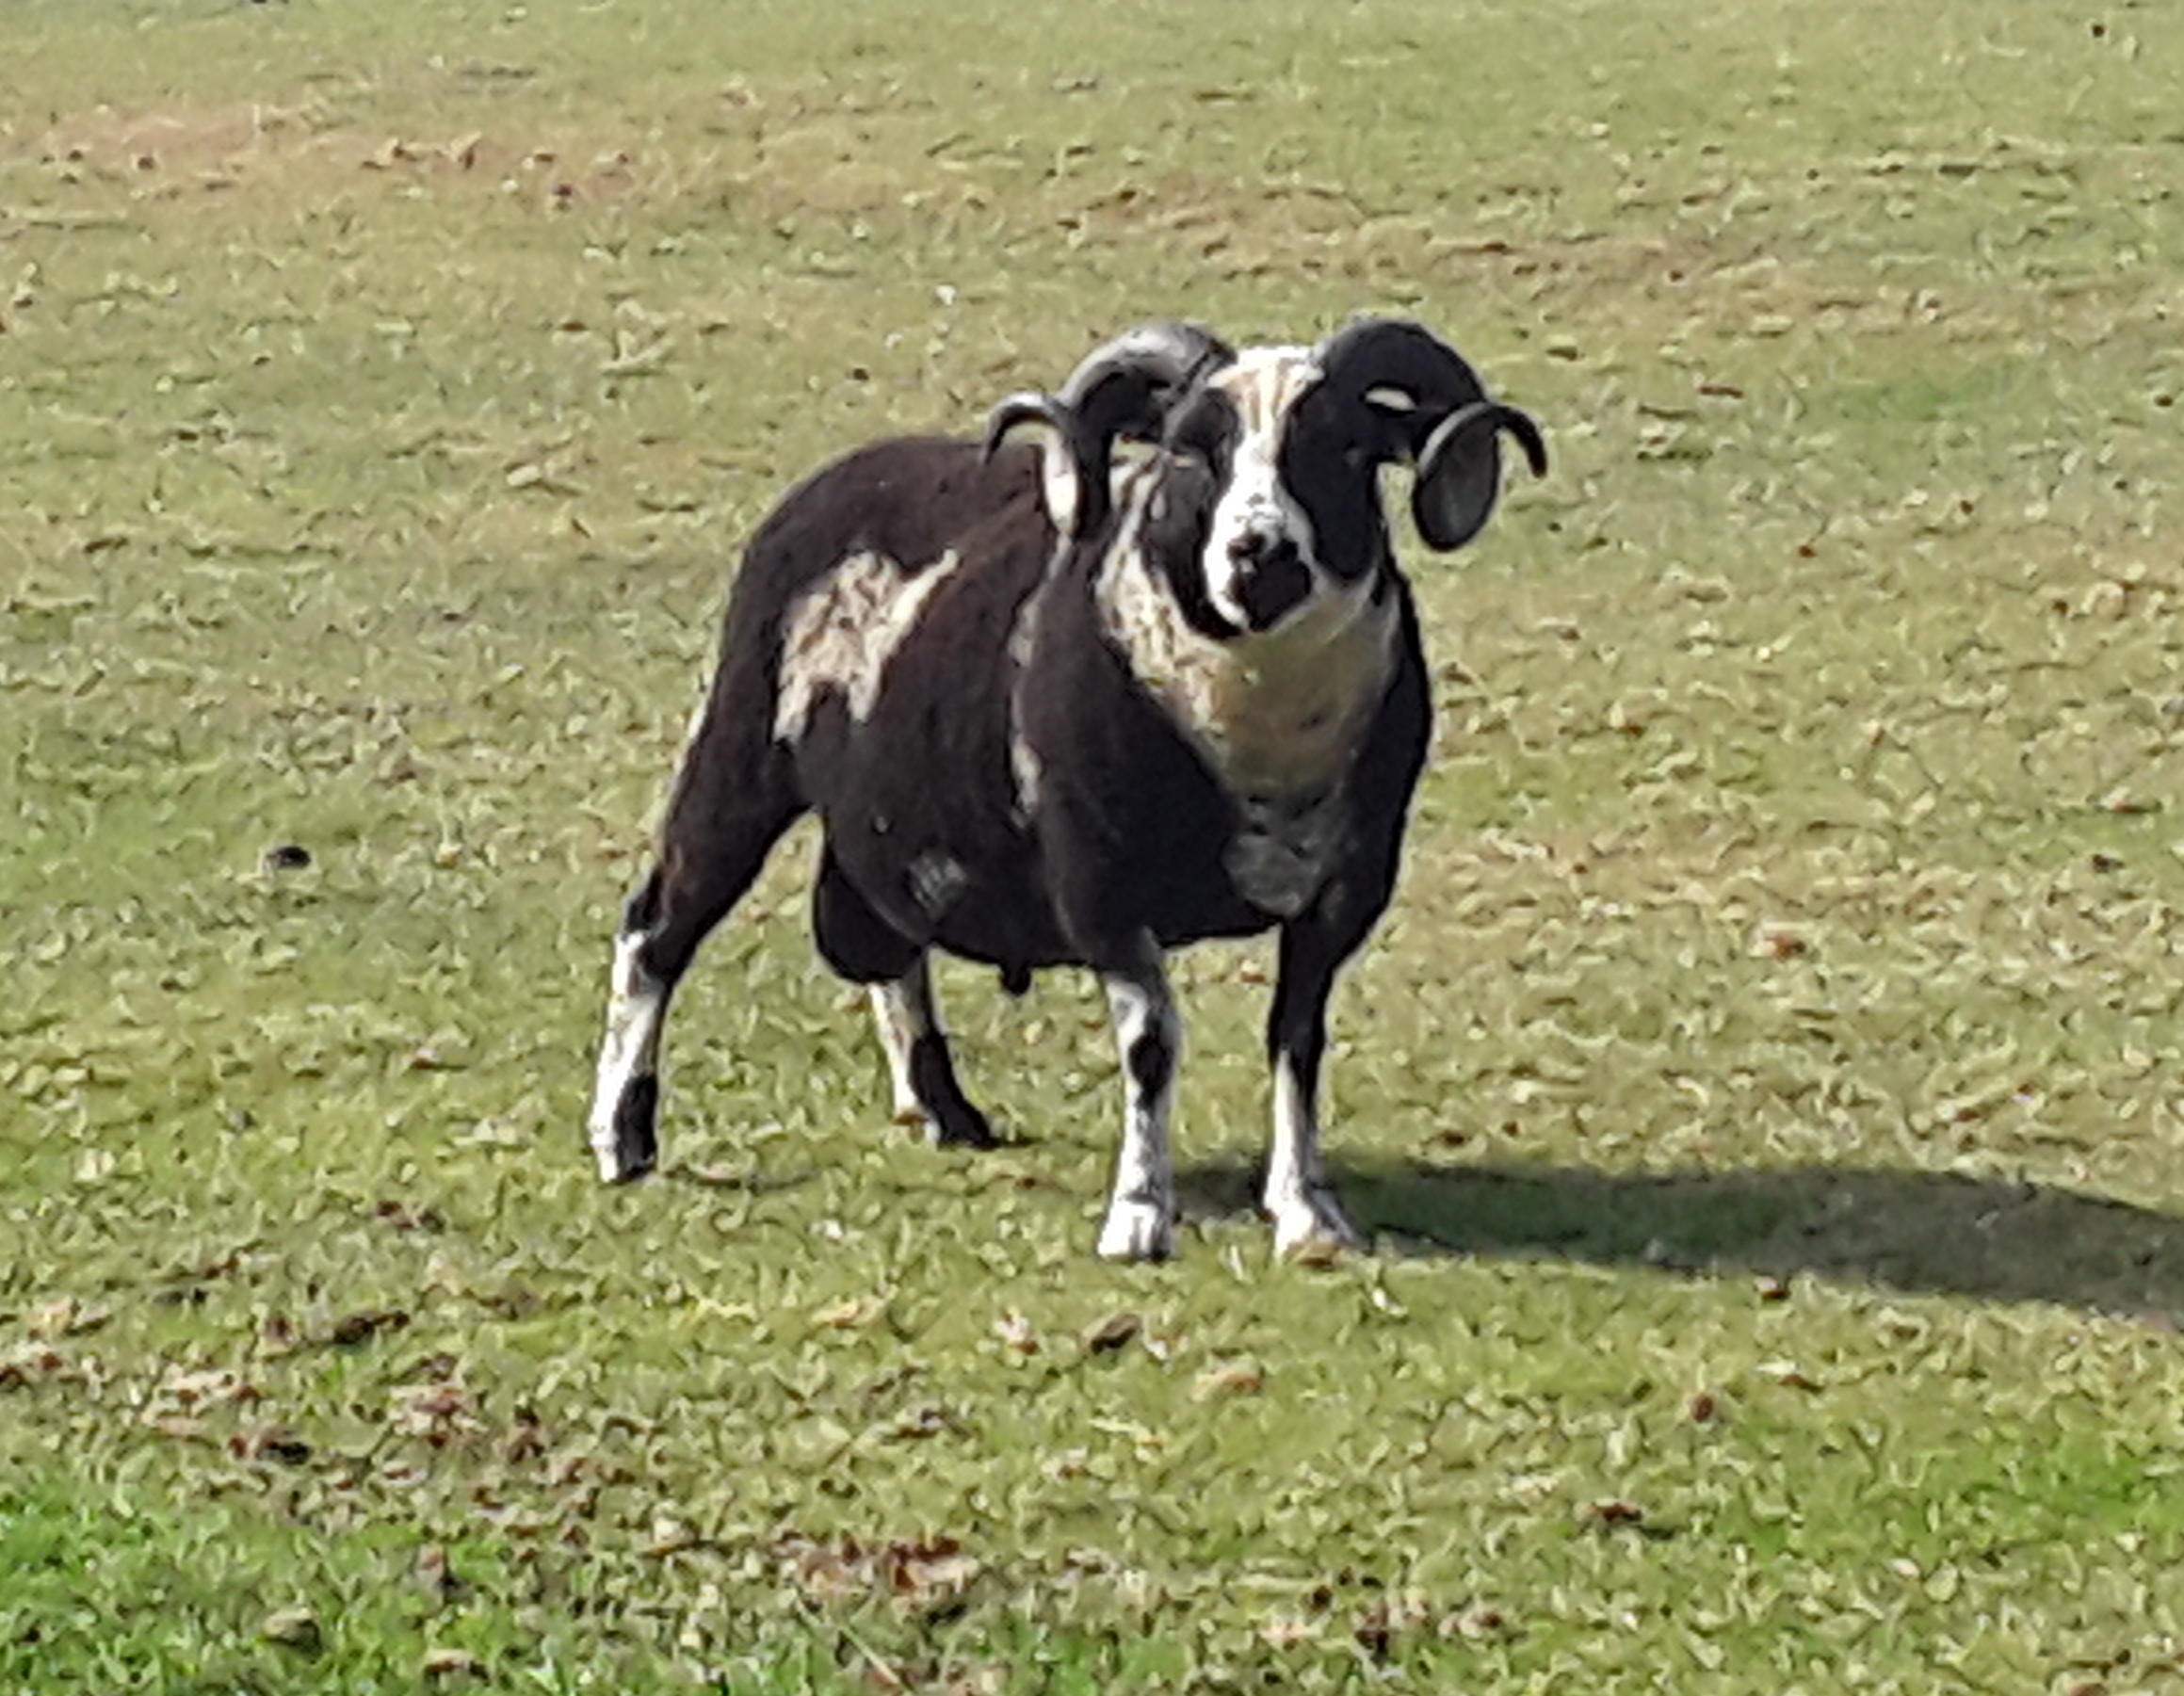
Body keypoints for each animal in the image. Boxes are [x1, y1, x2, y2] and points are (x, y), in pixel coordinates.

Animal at [587, 316, 1545, 1260]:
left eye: (1343, 447)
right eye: (1190, 449)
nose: (1258, 555)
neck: (1259, 738)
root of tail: (840, 478)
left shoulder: (1343, 893)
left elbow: (1296, 1040)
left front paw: (1307, 1211)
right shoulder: (1099, 886)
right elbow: (1152, 1042)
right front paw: (1138, 1215)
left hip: (888, 819)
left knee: (885, 939)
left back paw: (945, 1110)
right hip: (739, 753)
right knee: (657, 930)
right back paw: (621, 1137)